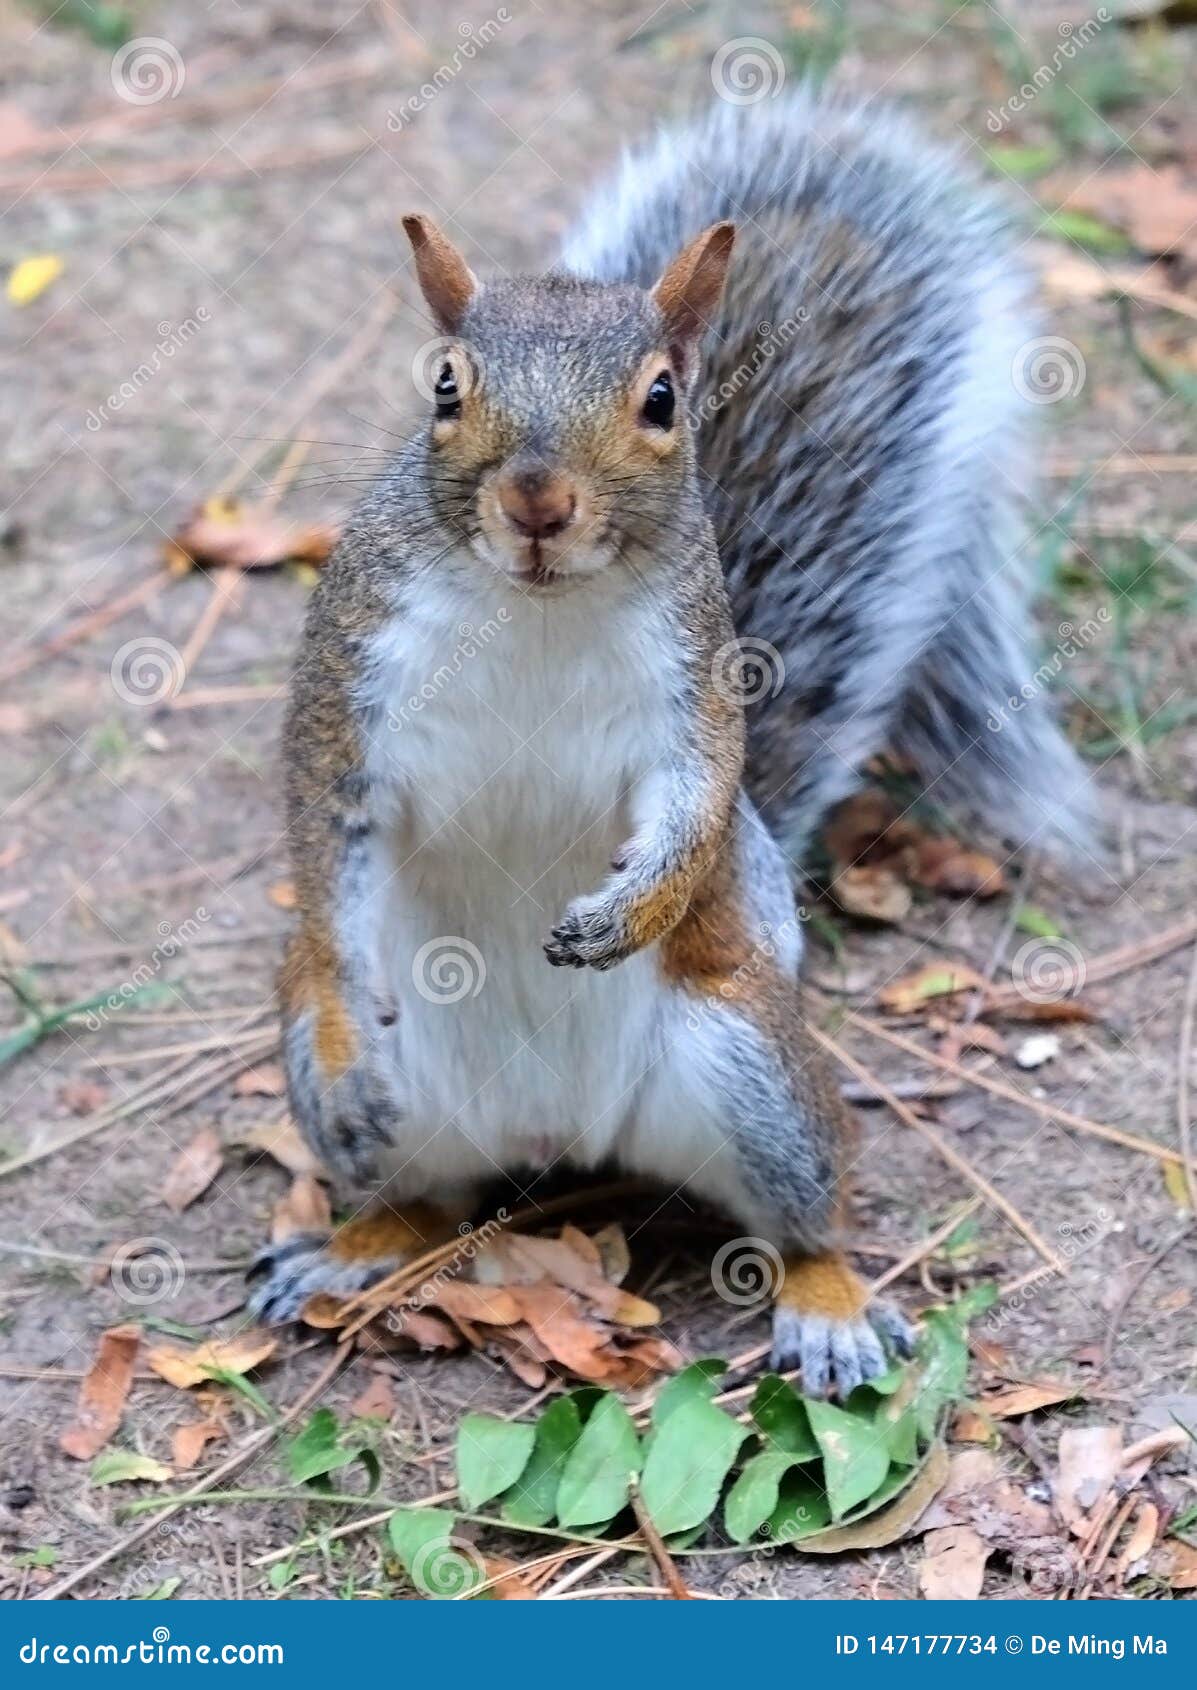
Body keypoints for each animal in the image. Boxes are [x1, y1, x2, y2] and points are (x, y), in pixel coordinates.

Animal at [249, 92, 1095, 1397]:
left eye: (660, 400)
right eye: (444, 386)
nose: (538, 501)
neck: (536, 605)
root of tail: (557, 1134)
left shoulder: (697, 685)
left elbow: (699, 803)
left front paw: (624, 914)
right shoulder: (347, 685)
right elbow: (319, 824)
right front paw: (351, 1026)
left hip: (752, 1070)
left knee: (809, 1208)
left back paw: (829, 1306)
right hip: (386, 1104)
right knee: (422, 1197)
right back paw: (357, 1244)